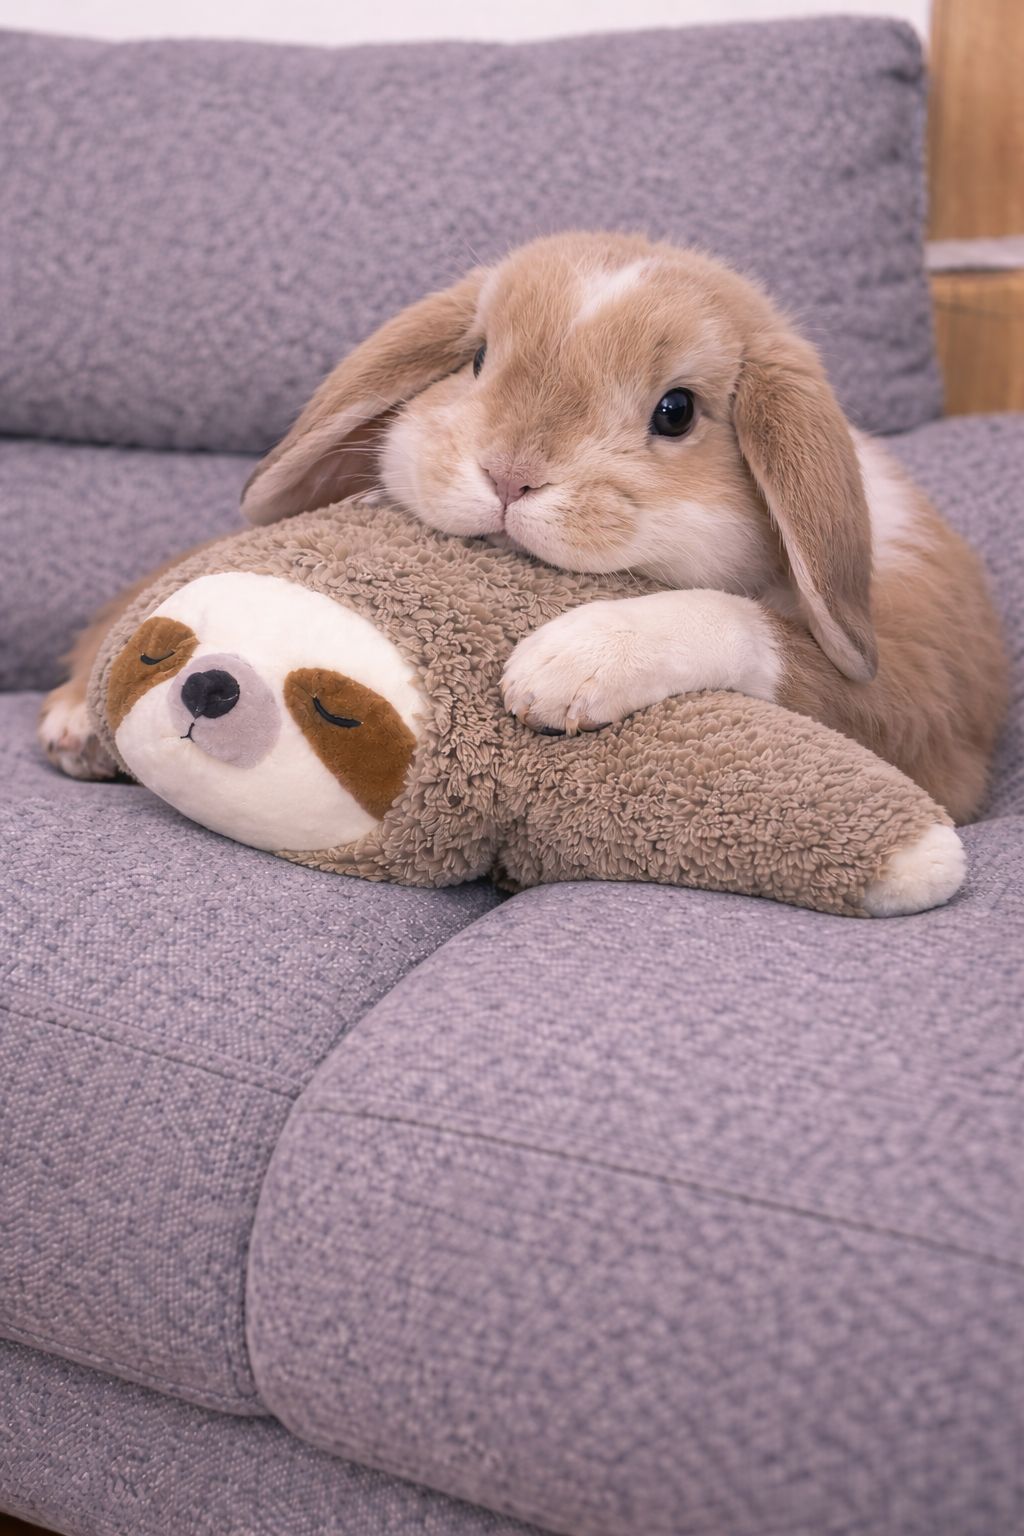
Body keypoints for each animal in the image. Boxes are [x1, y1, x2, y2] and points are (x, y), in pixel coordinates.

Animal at [42, 231, 1006, 823]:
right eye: (476, 359)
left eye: (677, 411)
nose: (509, 475)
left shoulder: (910, 709)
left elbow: (752, 627)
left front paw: (567, 666)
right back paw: (73, 724)